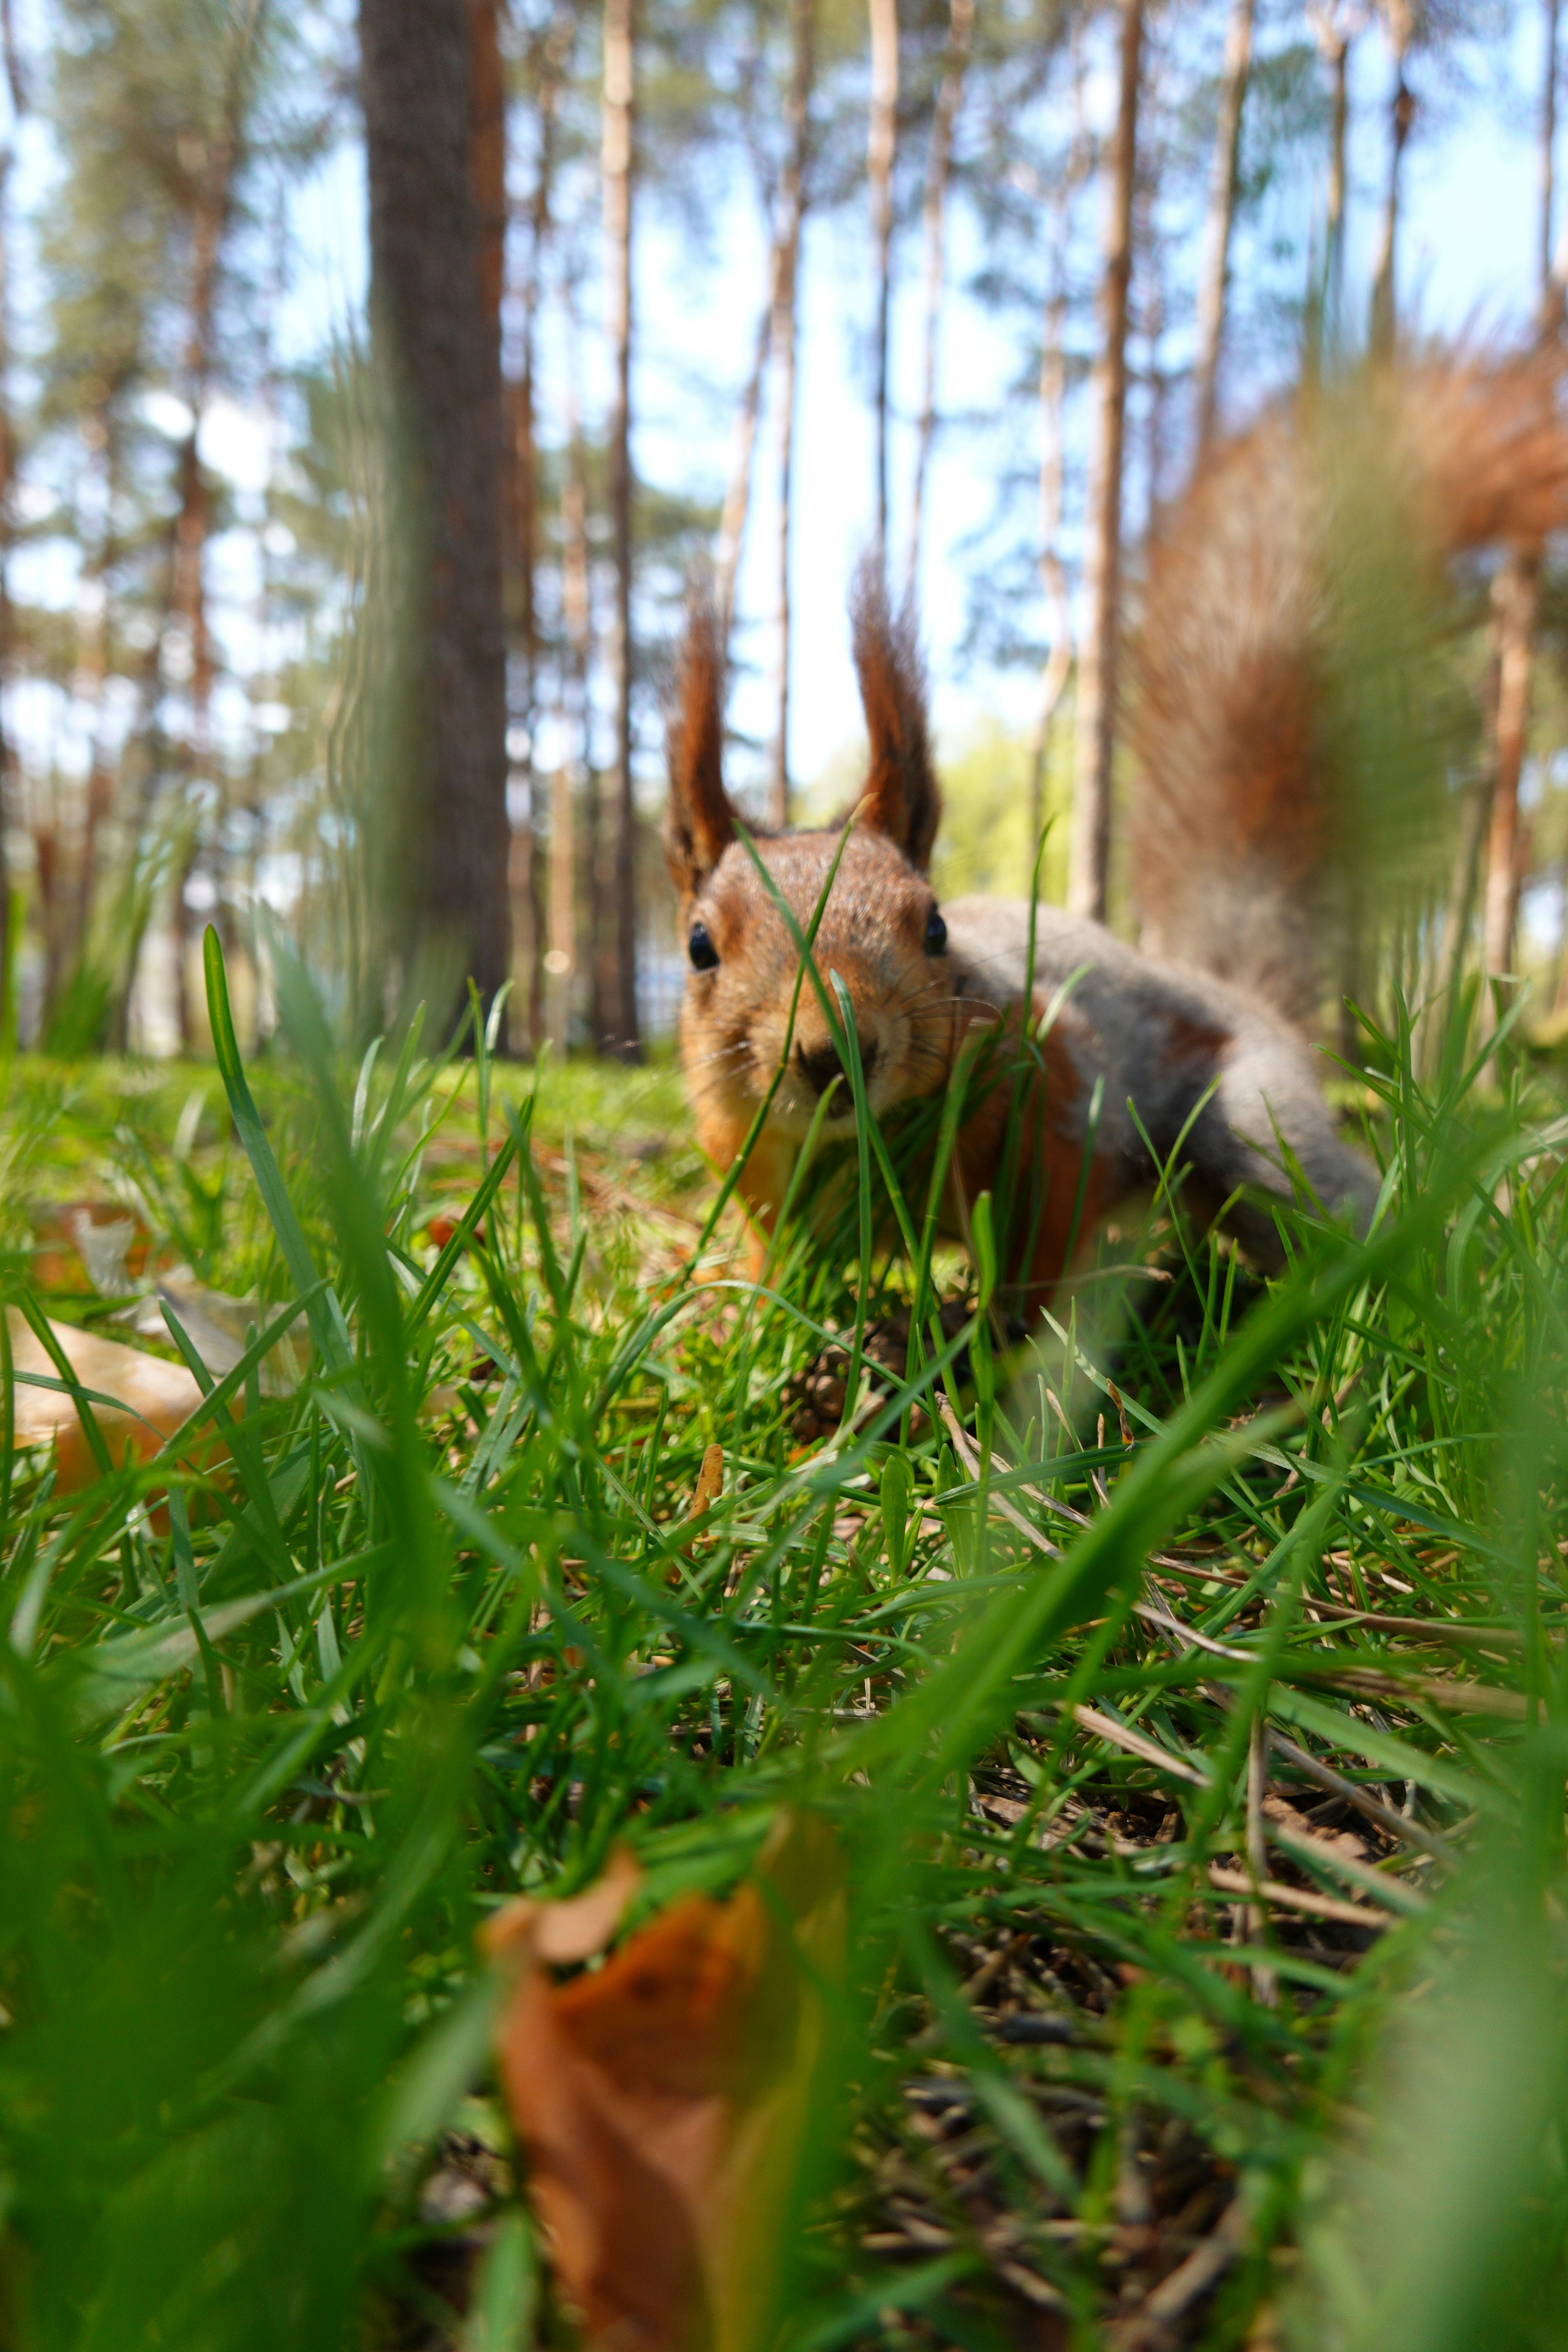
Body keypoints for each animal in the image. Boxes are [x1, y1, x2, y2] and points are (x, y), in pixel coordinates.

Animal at [665, 353, 1568, 1314]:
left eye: (935, 925)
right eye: (699, 948)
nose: (836, 1052)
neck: (857, 1145)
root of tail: (1236, 995)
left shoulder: (1058, 1094)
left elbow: (1045, 1237)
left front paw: (1007, 1334)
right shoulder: (750, 1165)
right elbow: (778, 1262)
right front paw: (744, 1310)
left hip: (1256, 1126)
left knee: (1330, 1206)